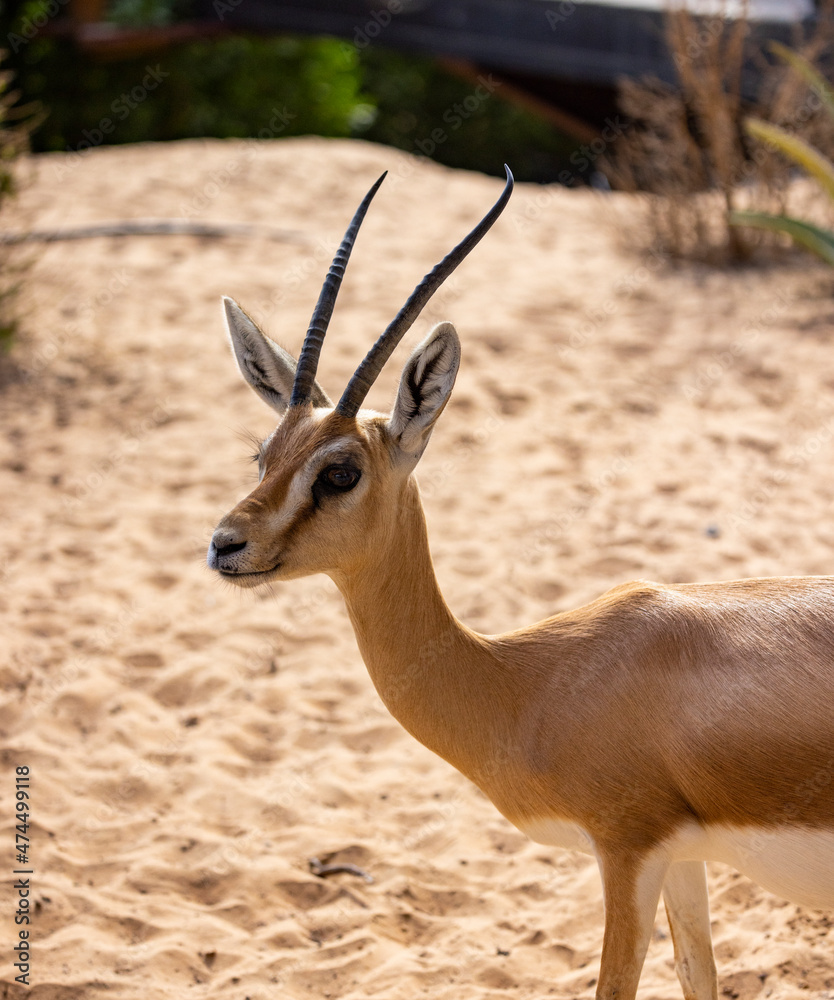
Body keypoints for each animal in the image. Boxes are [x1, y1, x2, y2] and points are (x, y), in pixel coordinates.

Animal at [207, 168, 834, 1000]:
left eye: (339, 473)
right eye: (265, 453)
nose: (225, 545)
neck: (526, 683)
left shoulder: (627, 850)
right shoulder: (683, 859)